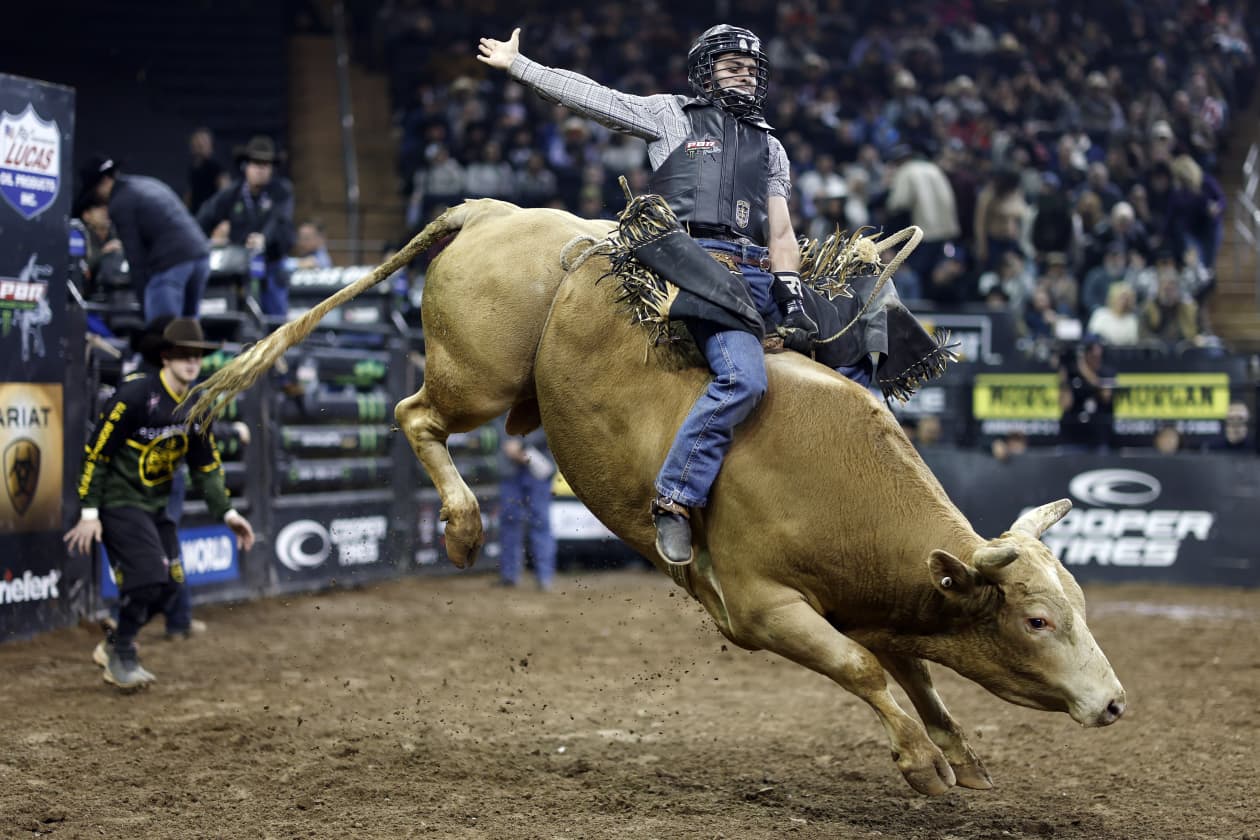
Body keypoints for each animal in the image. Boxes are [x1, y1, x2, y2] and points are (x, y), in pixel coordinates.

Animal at [189, 199, 1126, 796]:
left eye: (1079, 605)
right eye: (1036, 619)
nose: (1115, 701)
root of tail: (492, 212)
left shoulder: (880, 604)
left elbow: (919, 676)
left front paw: (961, 755)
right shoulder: (763, 608)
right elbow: (864, 669)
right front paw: (924, 767)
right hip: (477, 380)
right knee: (415, 414)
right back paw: (460, 528)